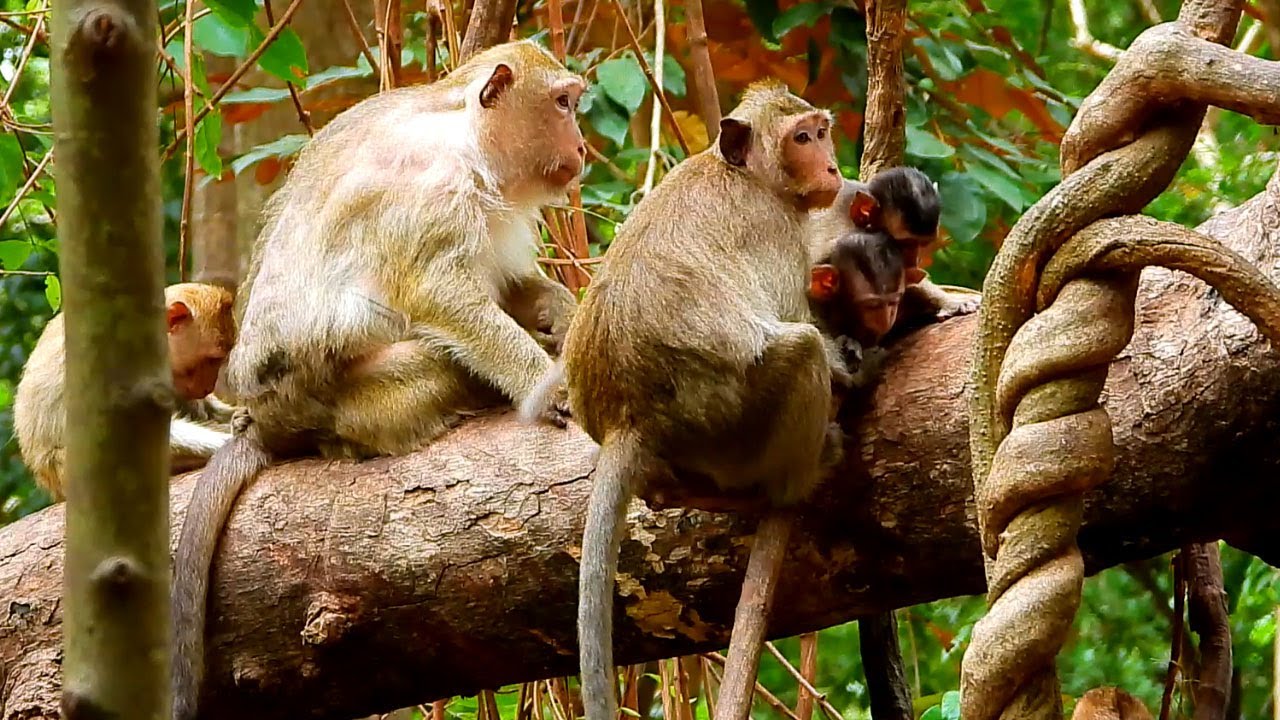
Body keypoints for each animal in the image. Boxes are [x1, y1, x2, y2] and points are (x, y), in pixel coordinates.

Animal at [169, 39, 587, 720]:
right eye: (562, 103)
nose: (580, 146)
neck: (465, 134)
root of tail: (268, 423)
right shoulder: (434, 191)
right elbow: (443, 295)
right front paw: (546, 383)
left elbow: (509, 285)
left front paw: (564, 316)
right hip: (350, 401)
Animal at [524, 80, 848, 720]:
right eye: (803, 138)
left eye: (821, 133)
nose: (831, 167)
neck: (747, 175)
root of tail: (628, 420)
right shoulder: (776, 232)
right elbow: (804, 326)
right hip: (726, 423)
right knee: (799, 352)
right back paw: (794, 482)